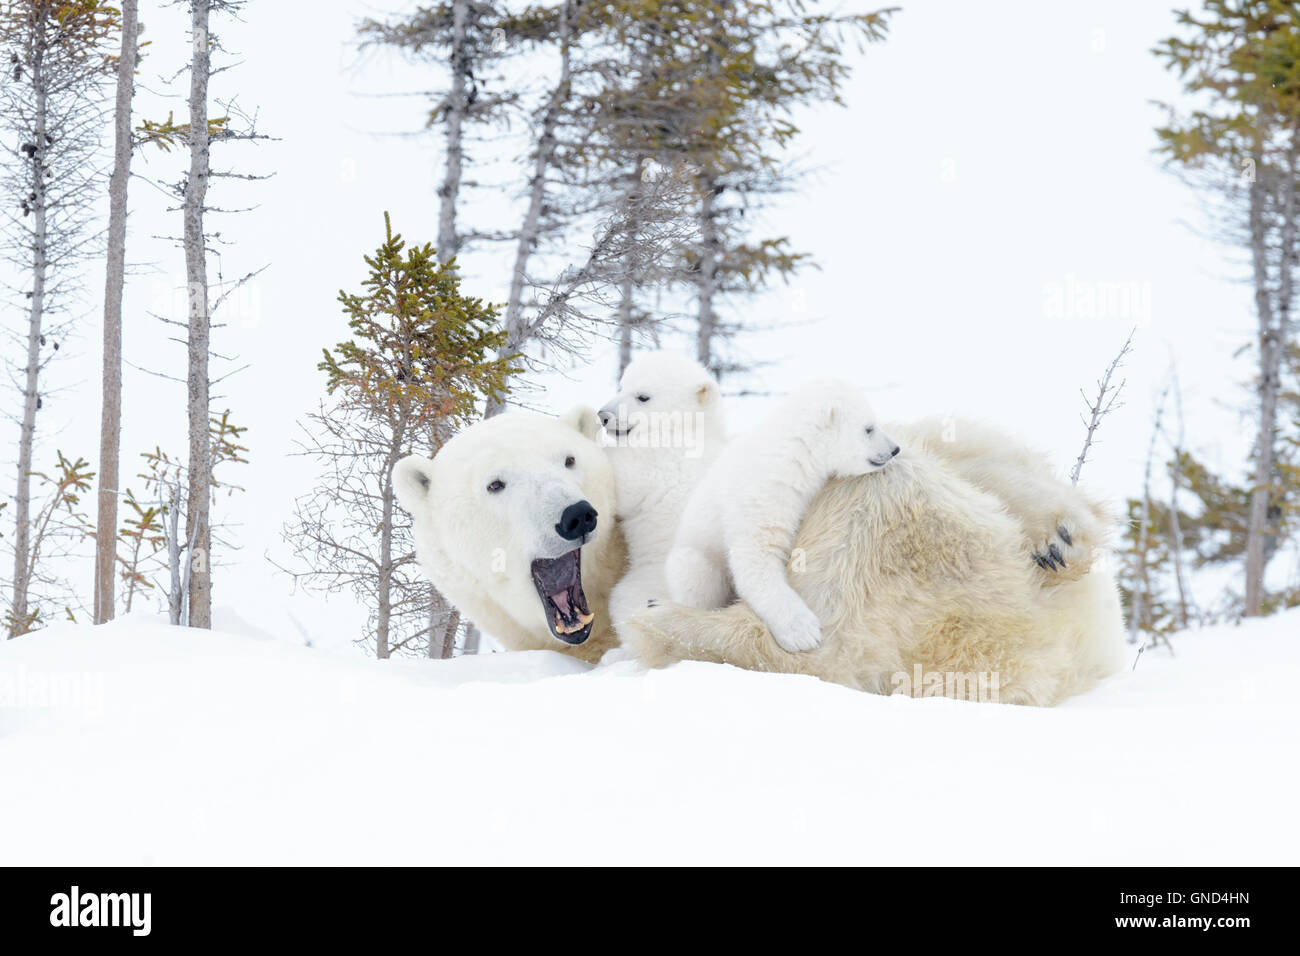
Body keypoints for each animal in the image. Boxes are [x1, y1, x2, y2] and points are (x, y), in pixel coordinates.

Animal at [666, 379, 899, 653]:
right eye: (868, 428)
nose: (895, 449)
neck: (794, 452)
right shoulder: (764, 492)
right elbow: (756, 556)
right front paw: (804, 632)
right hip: (697, 554)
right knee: (694, 575)